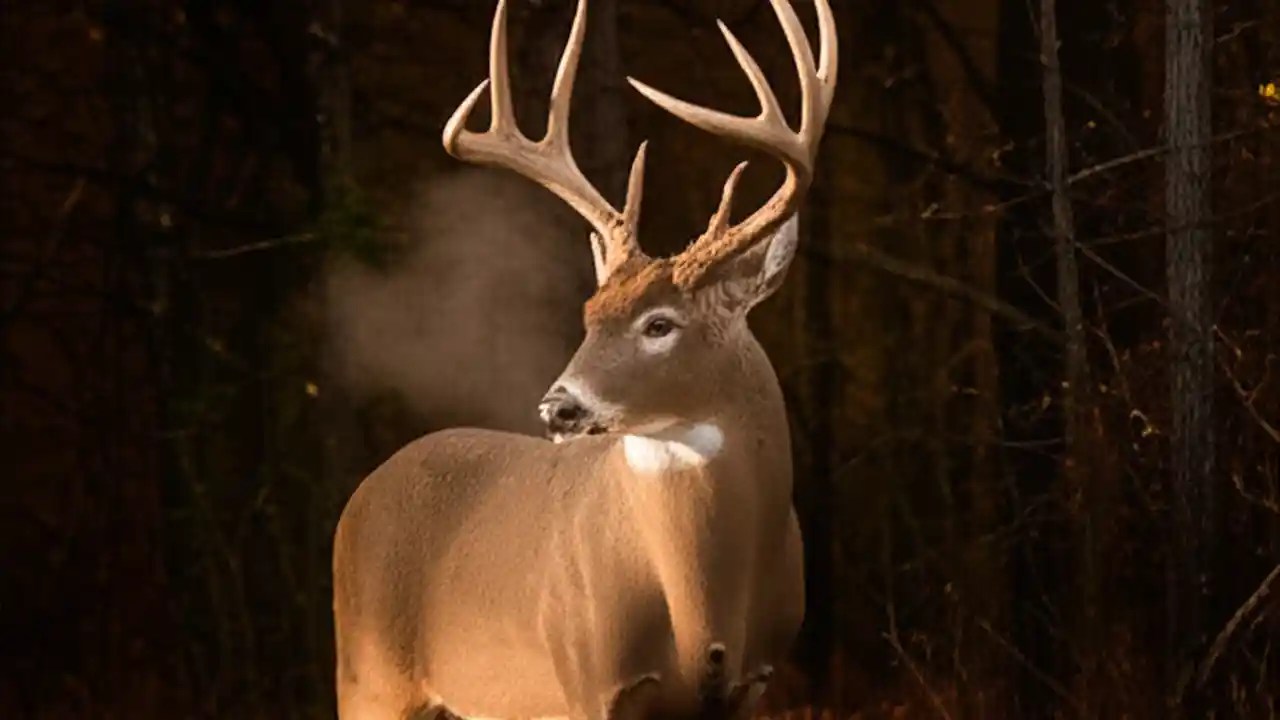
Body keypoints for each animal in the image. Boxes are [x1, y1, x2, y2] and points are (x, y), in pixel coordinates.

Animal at [331, 0, 837, 717]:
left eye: (660, 324)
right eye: (589, 314)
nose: (558, 407)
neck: (701, 605)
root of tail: (363, 493)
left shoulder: (757, 680)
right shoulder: (587, 675)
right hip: (369, 677)